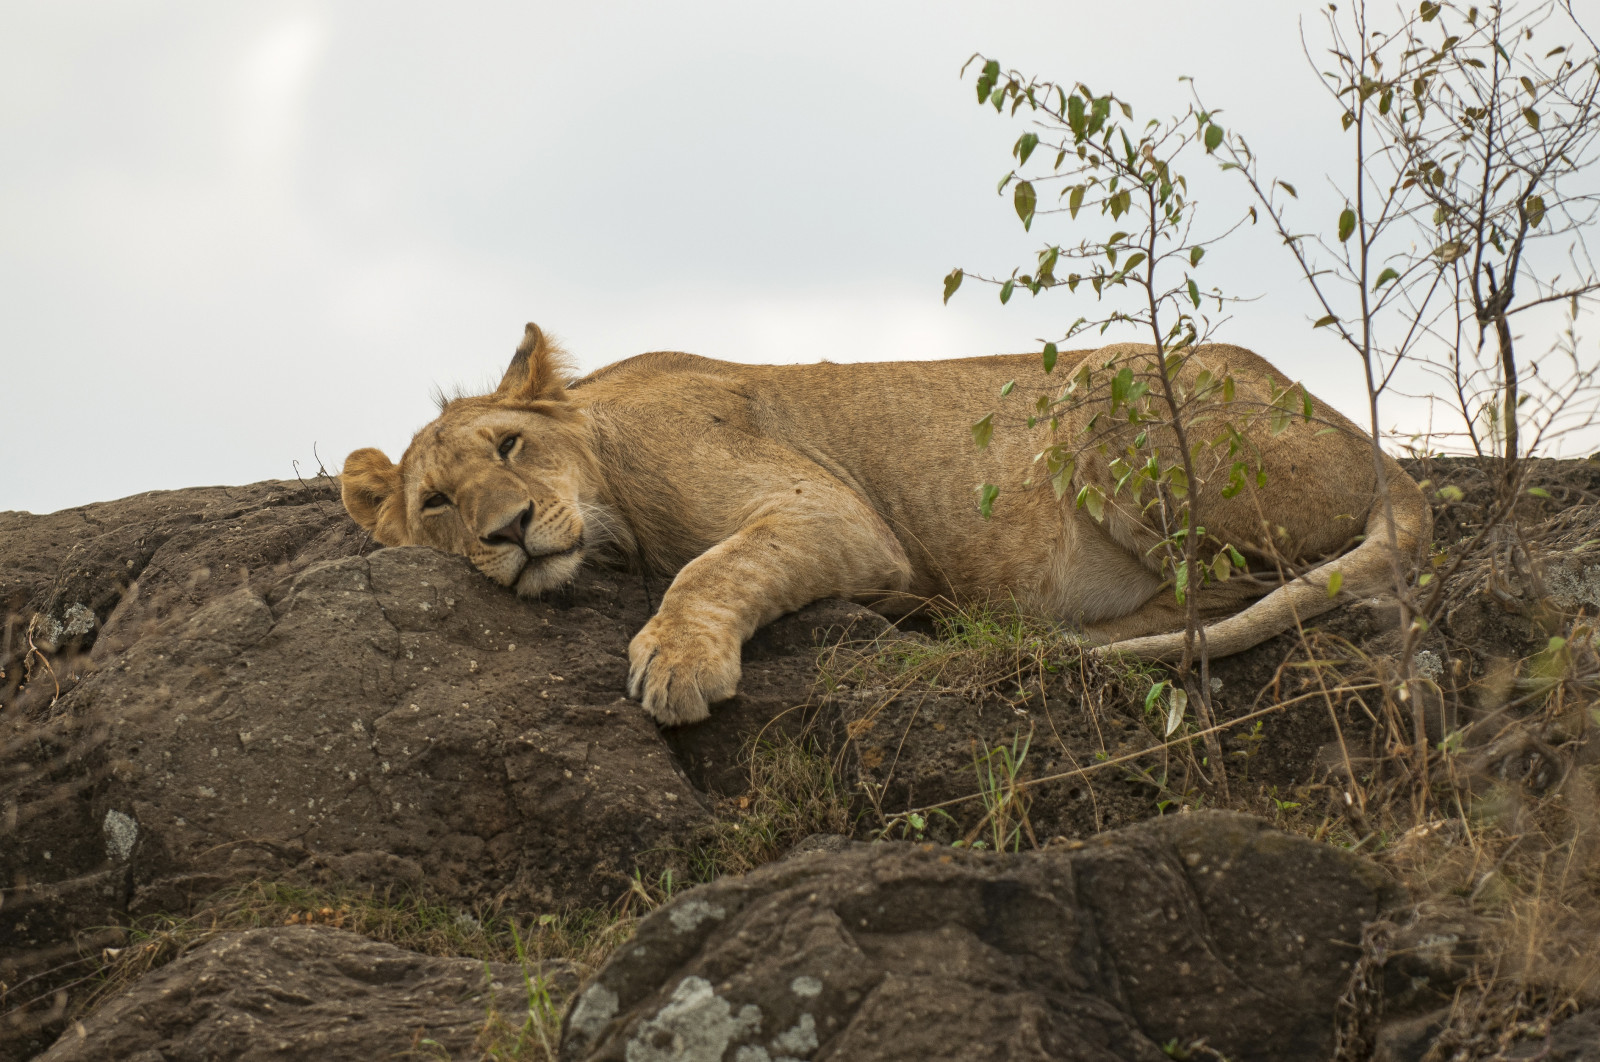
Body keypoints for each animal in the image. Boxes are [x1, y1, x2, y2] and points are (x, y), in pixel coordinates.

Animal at [341, 323, 1429, 726]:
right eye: (437, 504)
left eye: (510, 447)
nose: (511, 528)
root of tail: (1366, 438)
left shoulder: (838, 518)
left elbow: (710, 568)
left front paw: (675, 661)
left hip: (1106, 384)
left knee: (1236, 585)